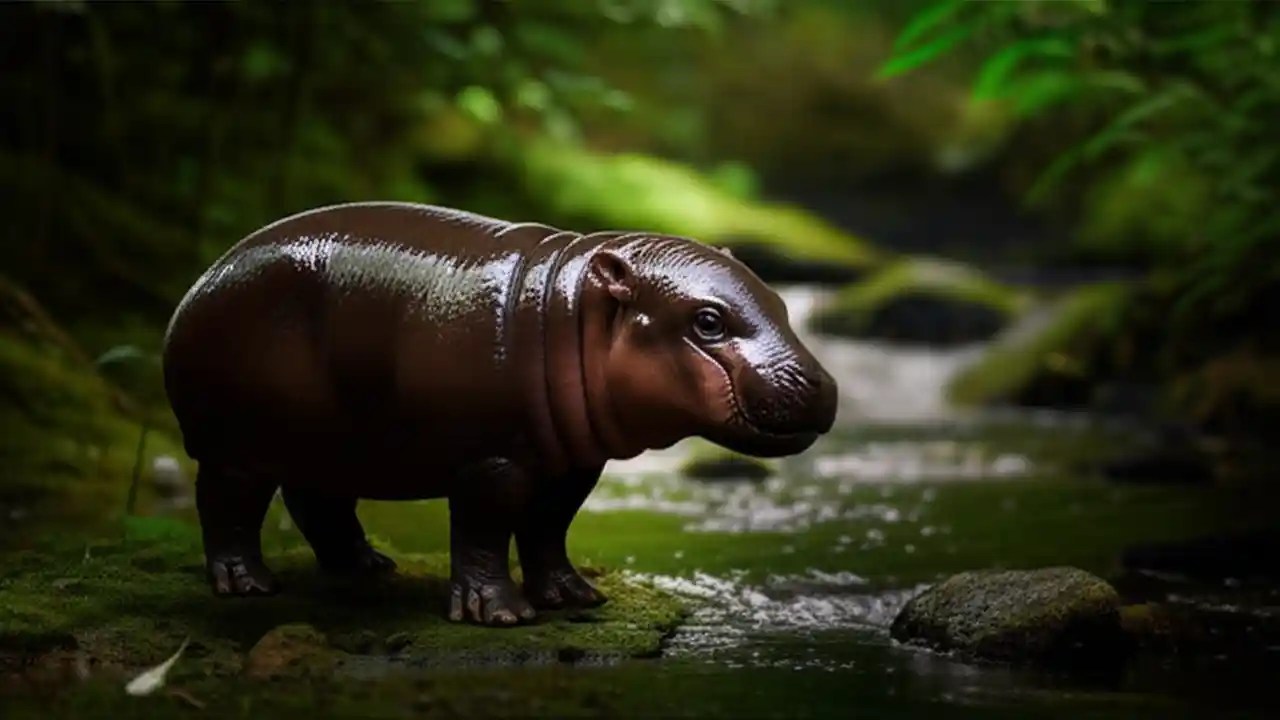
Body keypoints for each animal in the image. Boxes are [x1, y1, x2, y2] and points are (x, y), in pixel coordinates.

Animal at [163, 202, 838, 625]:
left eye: (780, 302)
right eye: (708, 321)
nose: (823, 385)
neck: (574, 309)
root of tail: (201, 280)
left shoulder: (570, 462)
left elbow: (548, 527)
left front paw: (575, 597)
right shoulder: (493, 459)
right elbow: (486, 531)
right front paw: (504, 615)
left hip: (330, 441)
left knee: (317, 501)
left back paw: (368, 570)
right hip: (236, 443)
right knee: (227, 505)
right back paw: (248, 585)